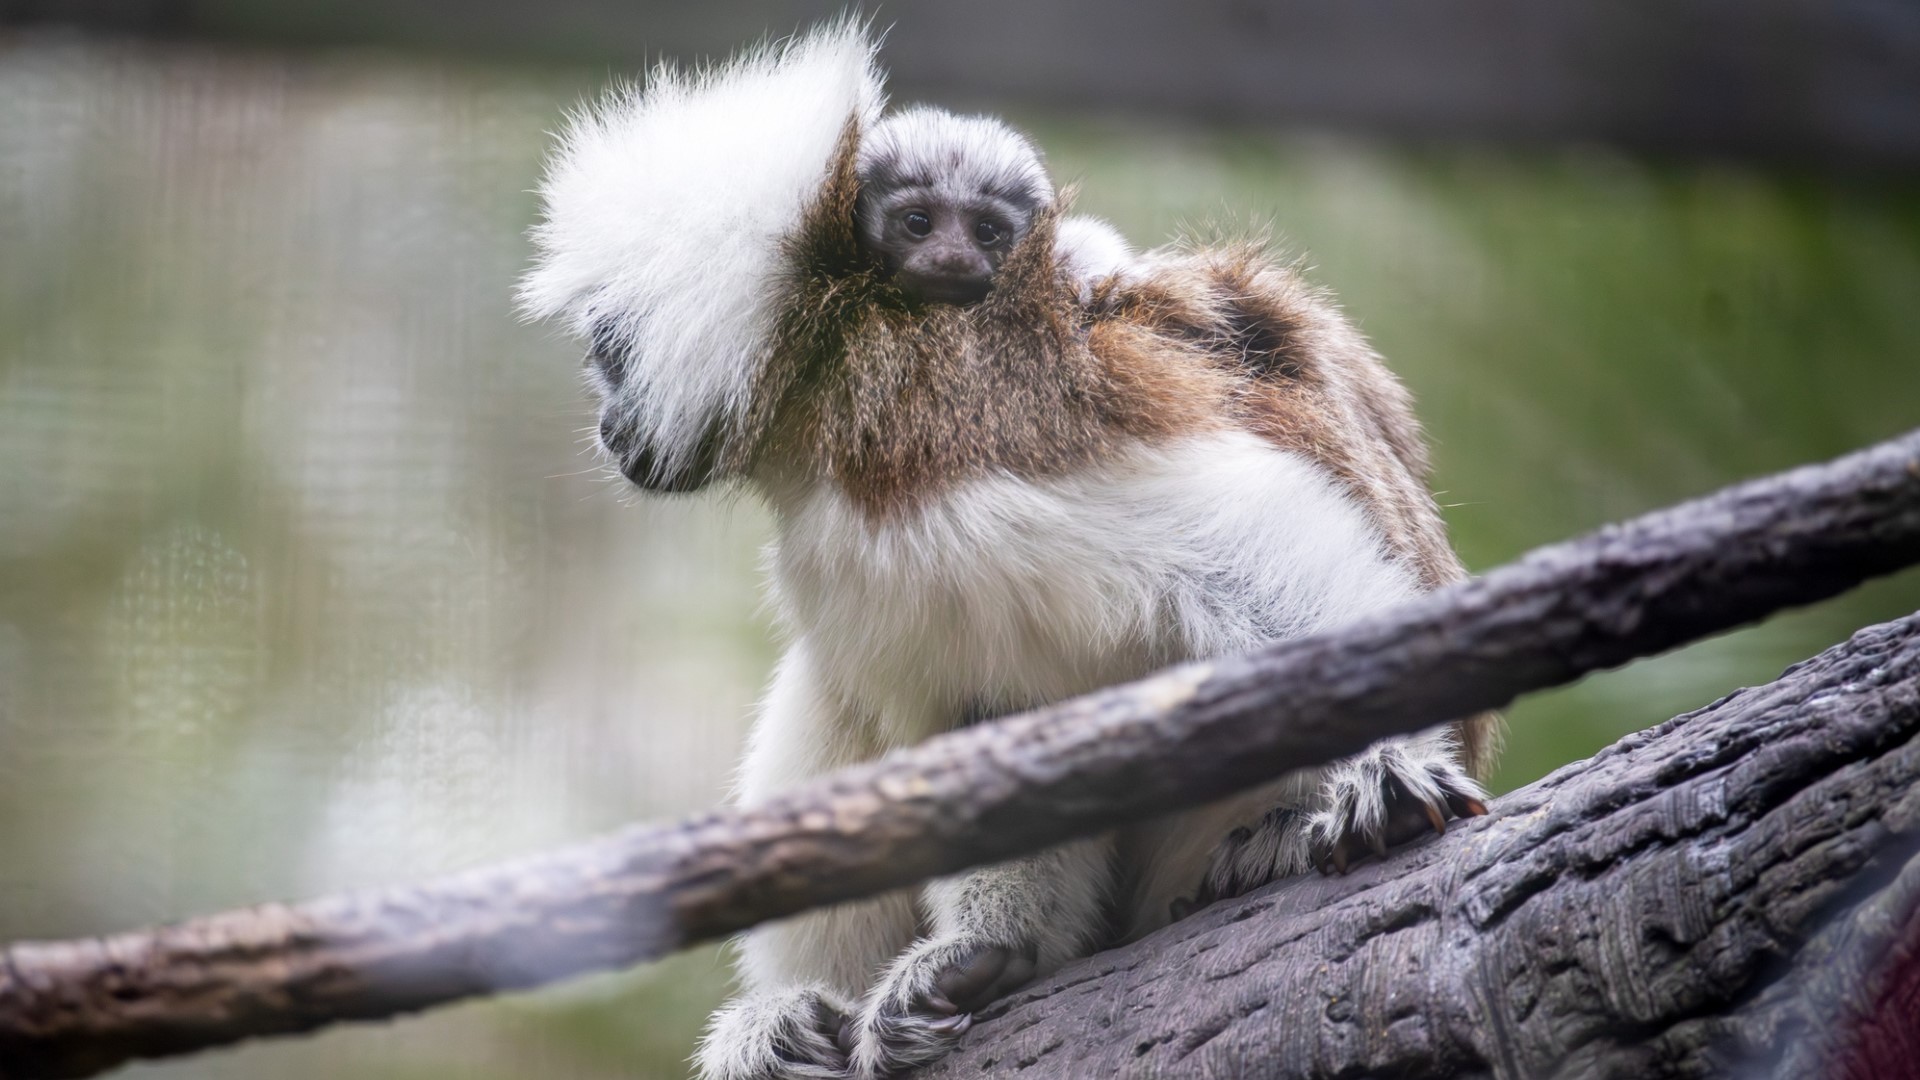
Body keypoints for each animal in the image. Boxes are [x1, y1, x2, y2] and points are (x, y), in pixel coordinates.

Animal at [519, 22, 1495, 1080]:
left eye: (609, 352)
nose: (610, 424)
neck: (827, 364)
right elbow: (992, 727)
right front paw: (993, 951)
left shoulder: (963, 415)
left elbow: (1230, 535)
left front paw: (1385, 764)